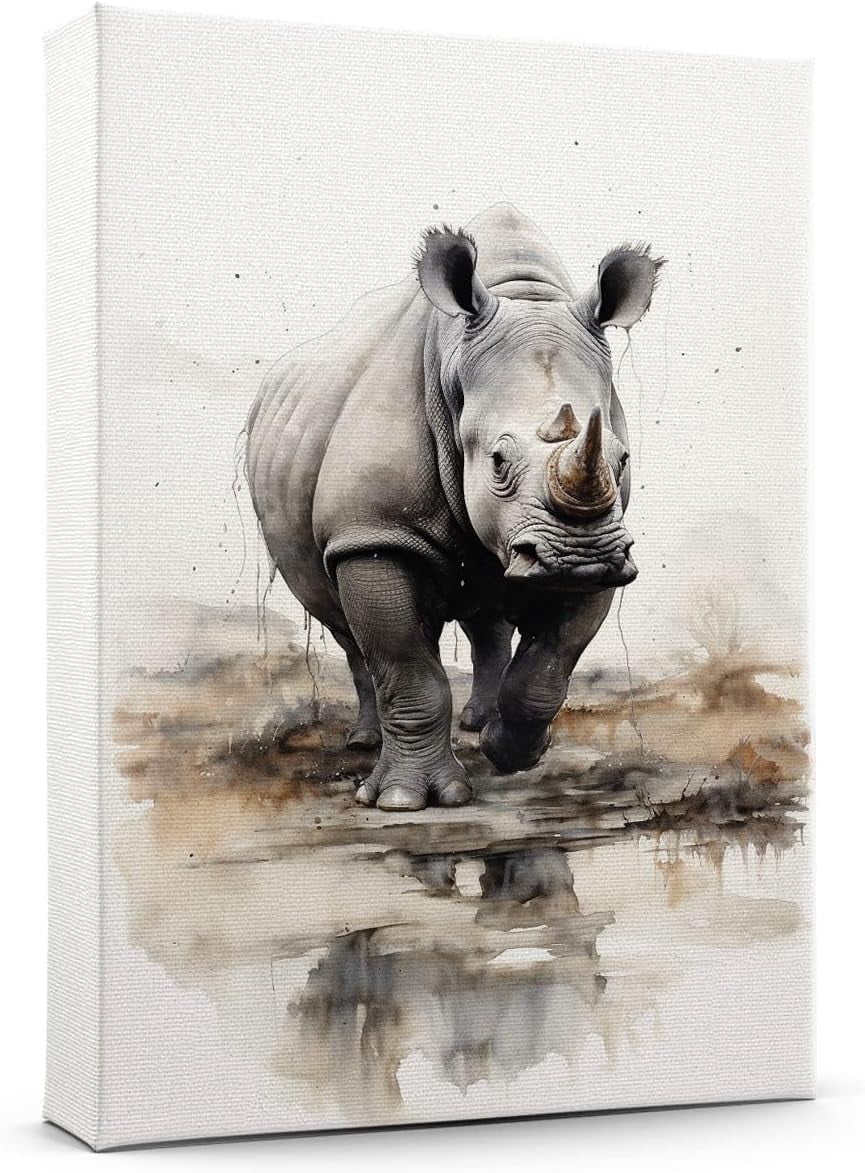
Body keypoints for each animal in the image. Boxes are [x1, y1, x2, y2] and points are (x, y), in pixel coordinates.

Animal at [246, 204, 662, 810]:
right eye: (497, 461)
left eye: (622, 458)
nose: (577, 557)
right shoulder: (371, 532)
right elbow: (405, 665)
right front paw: (405, 801)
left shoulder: (609, 544)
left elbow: (549, 667)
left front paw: (511, 754)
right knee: (344, 626)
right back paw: (364, 742)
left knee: (486, 615)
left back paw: (477, 726)